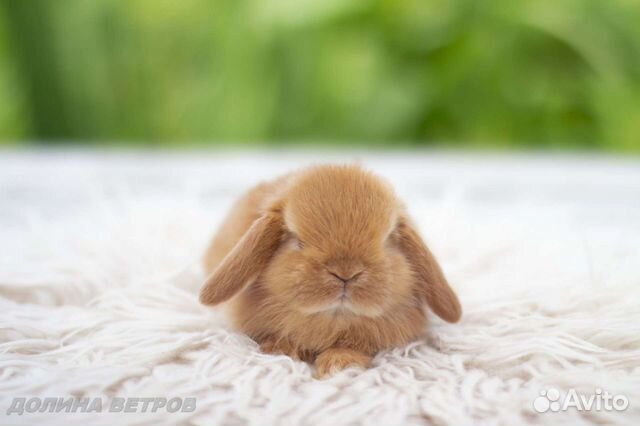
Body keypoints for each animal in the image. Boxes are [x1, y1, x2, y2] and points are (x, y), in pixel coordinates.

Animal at [200, 164, 461, 378]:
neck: (332, 320)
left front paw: (338, 364)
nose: (346, 273)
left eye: (387, 240)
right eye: (297, 241)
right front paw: (283, 350)